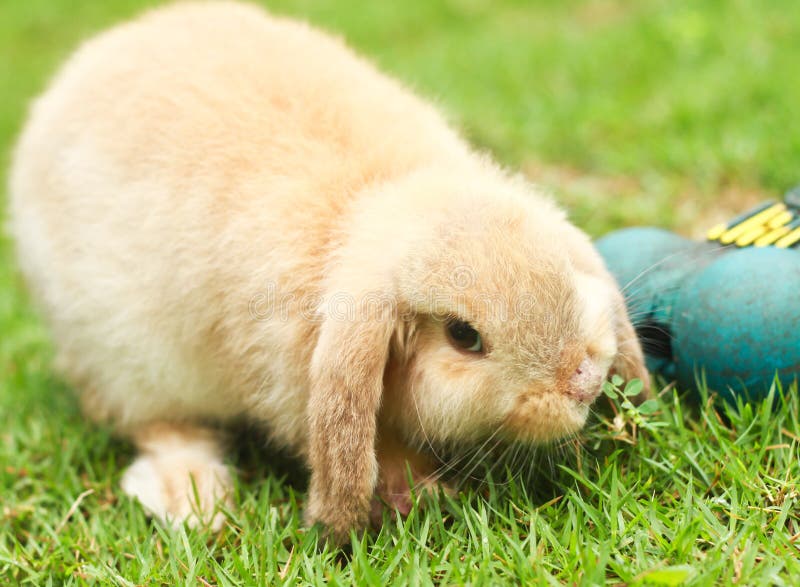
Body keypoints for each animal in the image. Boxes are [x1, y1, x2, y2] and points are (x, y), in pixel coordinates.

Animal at [8, 1, 649, 541]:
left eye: (565, 275)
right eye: (464, 337)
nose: (583, 381)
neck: (366, 212)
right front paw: (417, 494)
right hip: (132, 365)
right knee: (161, 426)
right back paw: (190, 500)